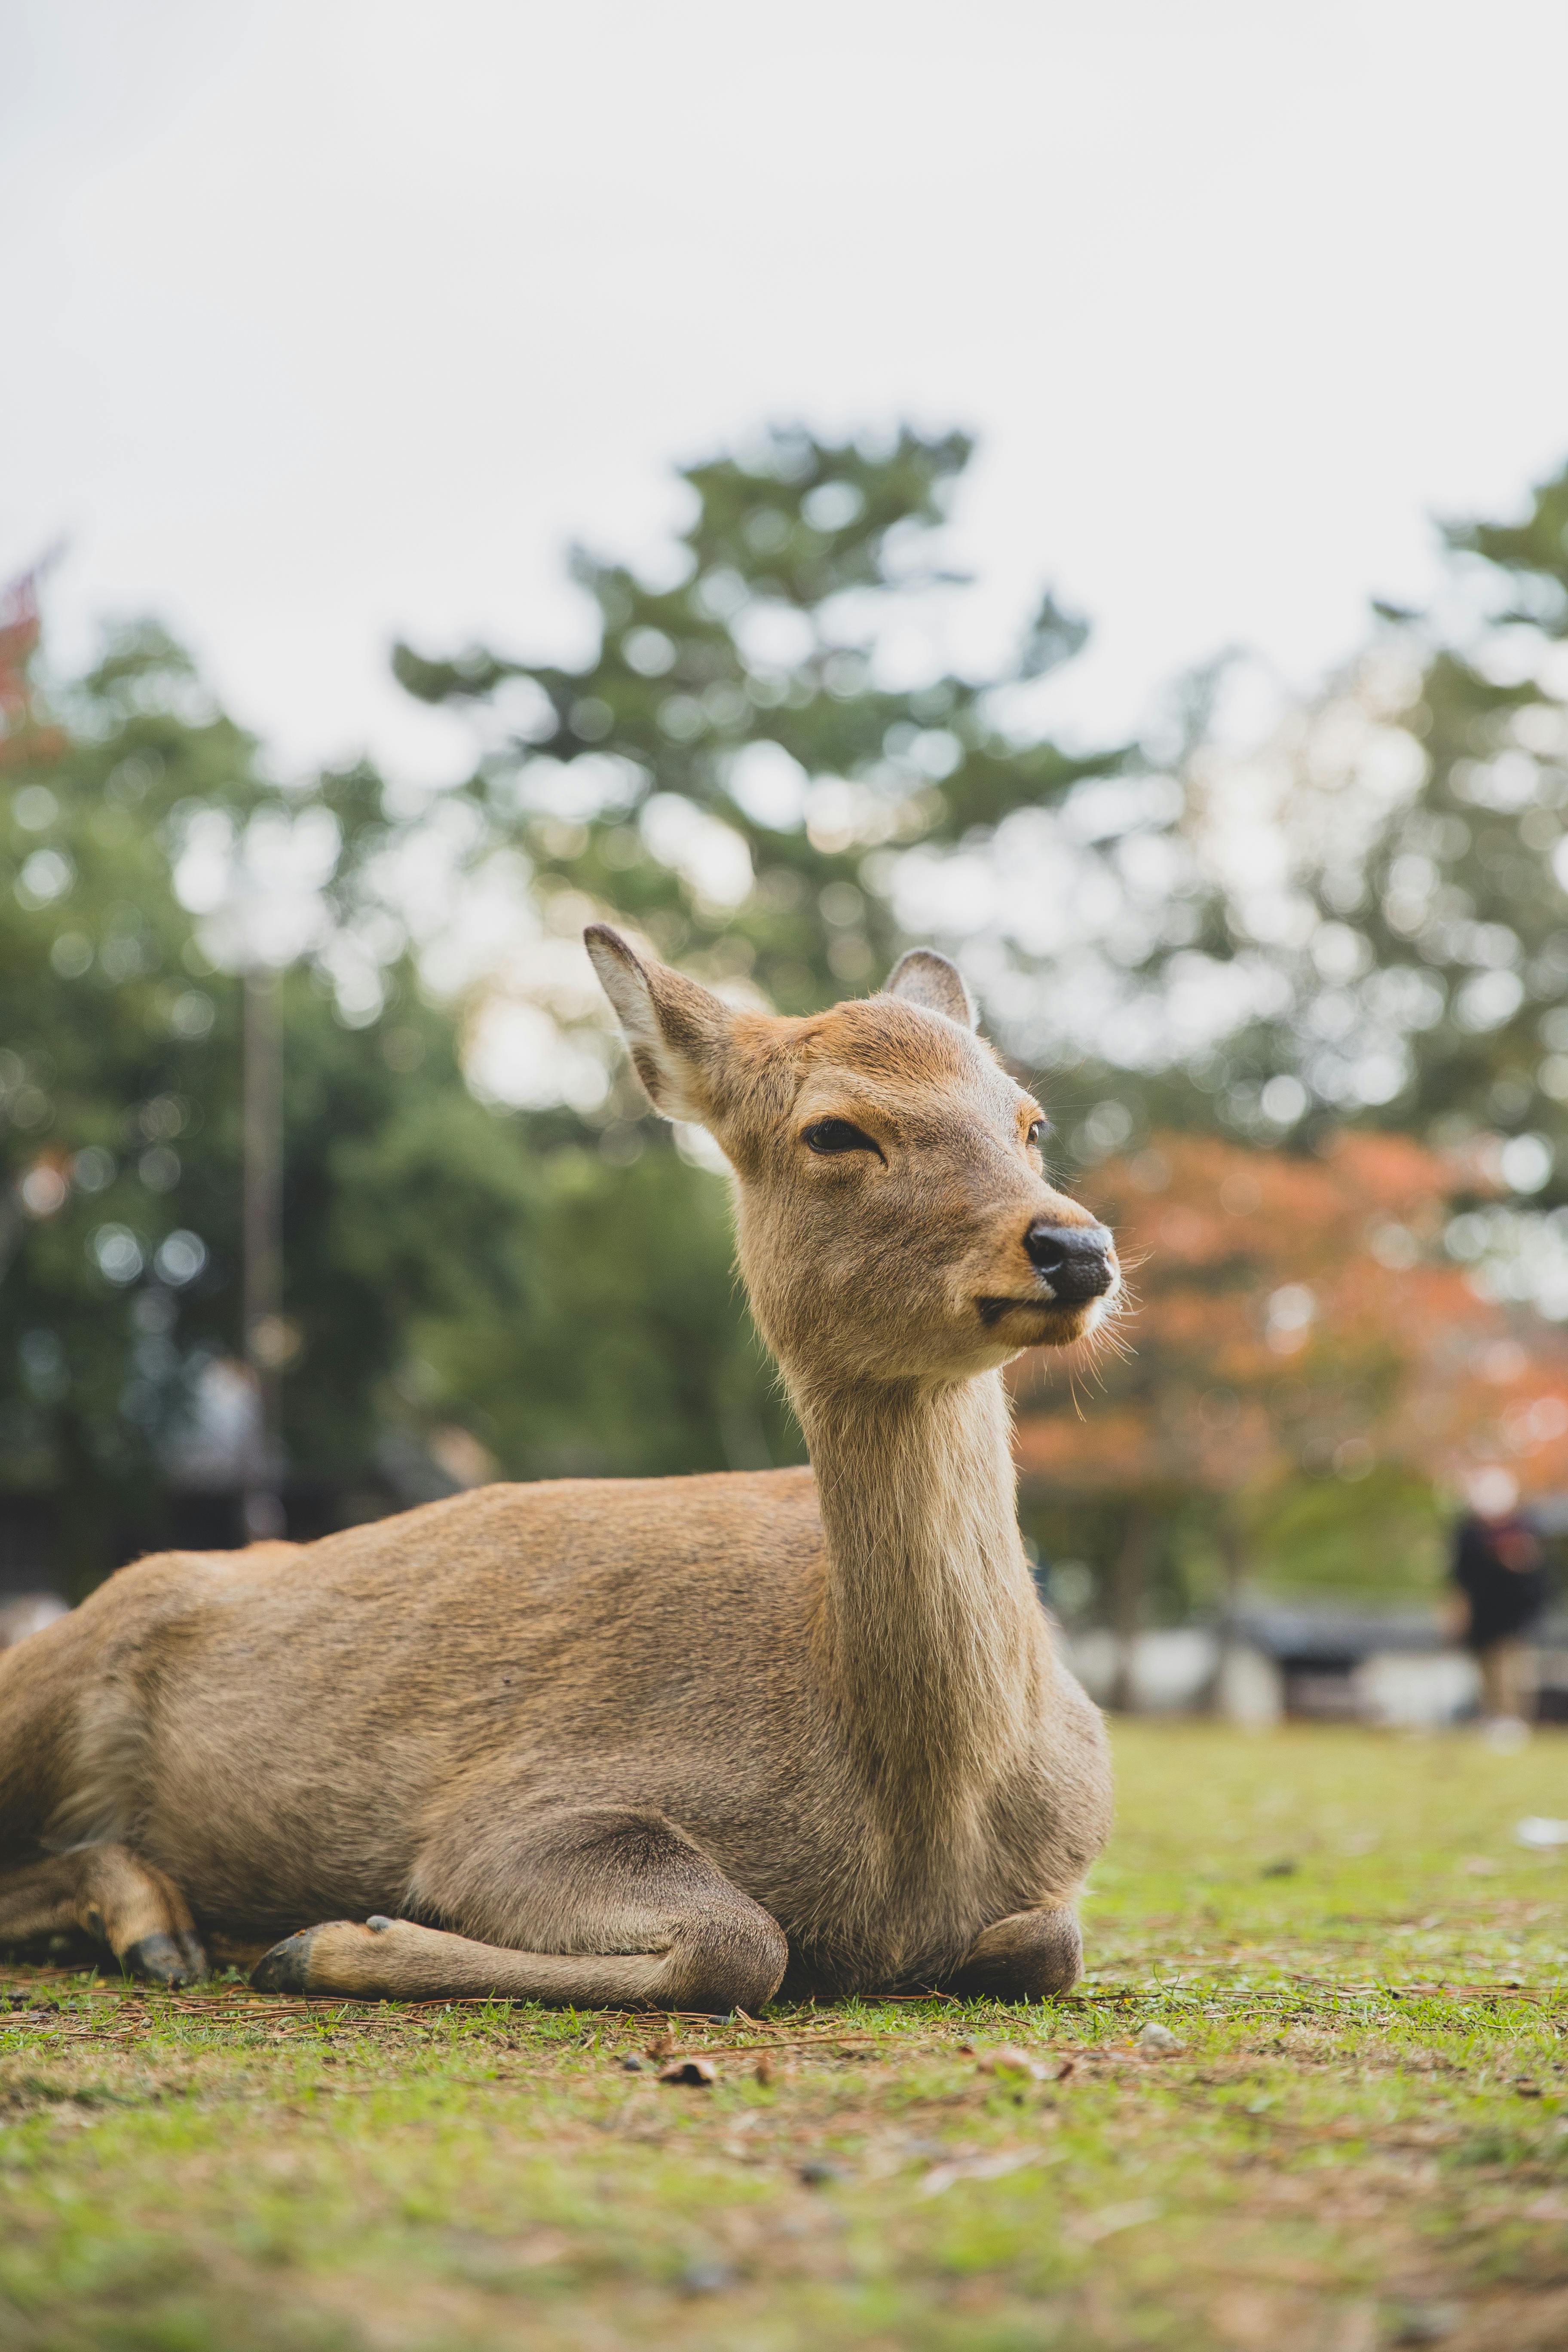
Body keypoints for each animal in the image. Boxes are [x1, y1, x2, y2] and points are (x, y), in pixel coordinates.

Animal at [0, 931, 1119, 2008]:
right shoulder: (513, 1810)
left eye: (1029, 1121)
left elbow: (1048, 1941)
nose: (1076, 1245)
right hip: (45, 1686)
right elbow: (741, 1940)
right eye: (835, 1130)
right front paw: (329, 1940)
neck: (922, 1820)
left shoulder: (1060, 1875)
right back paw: (165, 1924)